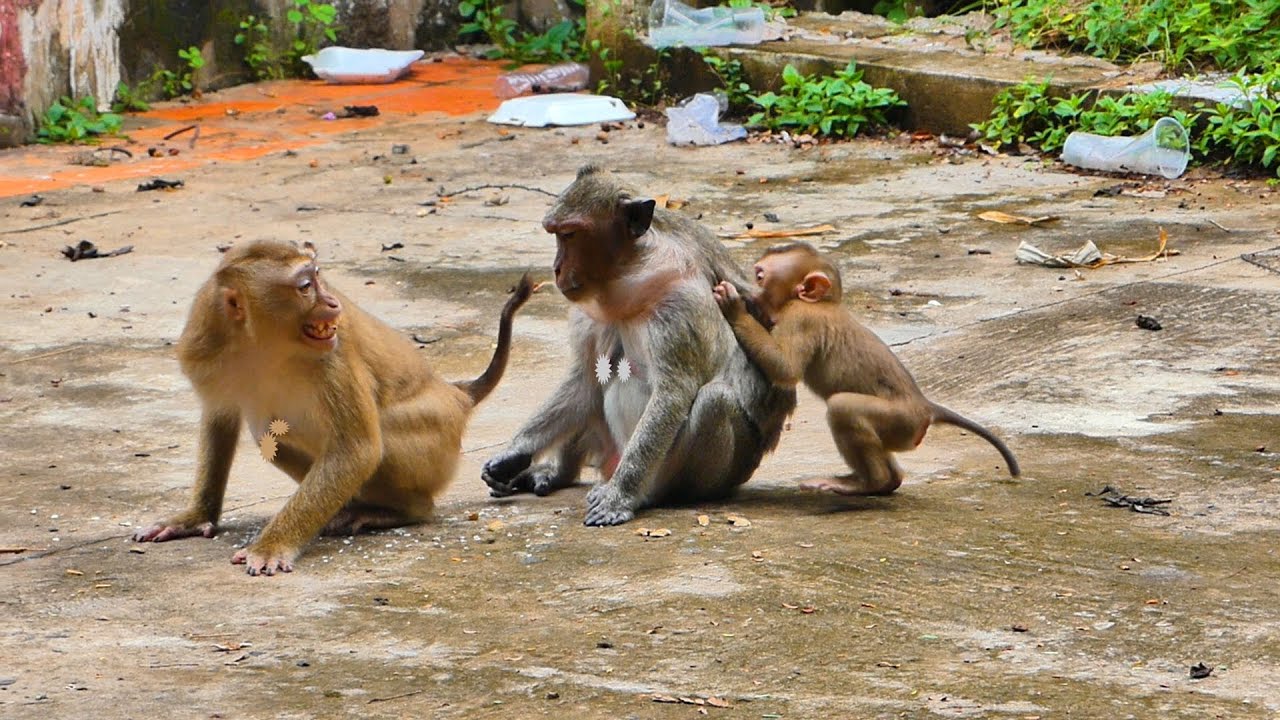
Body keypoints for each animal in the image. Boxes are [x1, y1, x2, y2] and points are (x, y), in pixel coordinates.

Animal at [133, 240, 533, 575]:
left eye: (318, 278)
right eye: (305, 286)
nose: (333, 302)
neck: (259, 344)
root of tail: (457, 396)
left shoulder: (333, 355)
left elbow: (357, 449)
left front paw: (271, 545)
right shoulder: (204, 344)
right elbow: (220, 419)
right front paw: (196, 516)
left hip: (436, 438)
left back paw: (406, 510)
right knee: (271, 433)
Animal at [481, 164, 796, 526]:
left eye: (570, 234)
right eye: (556, 233)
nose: (557, 268)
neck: (629, 281)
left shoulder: (677, 308)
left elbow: (673, 393)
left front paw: (620, 496)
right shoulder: (591, 313)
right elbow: (584, 380)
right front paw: (513, 454)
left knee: (714, 401)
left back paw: (654, 495)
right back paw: (556, 474)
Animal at [713, 242, 1019, 496]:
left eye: (759, 276)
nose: (748, 288)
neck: (823, 303)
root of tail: (926, 408)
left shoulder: (801, 317)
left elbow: (785, 369)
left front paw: (735, 308)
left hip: (899, 422)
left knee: (844, 408)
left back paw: (870, 483)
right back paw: (887, 481)